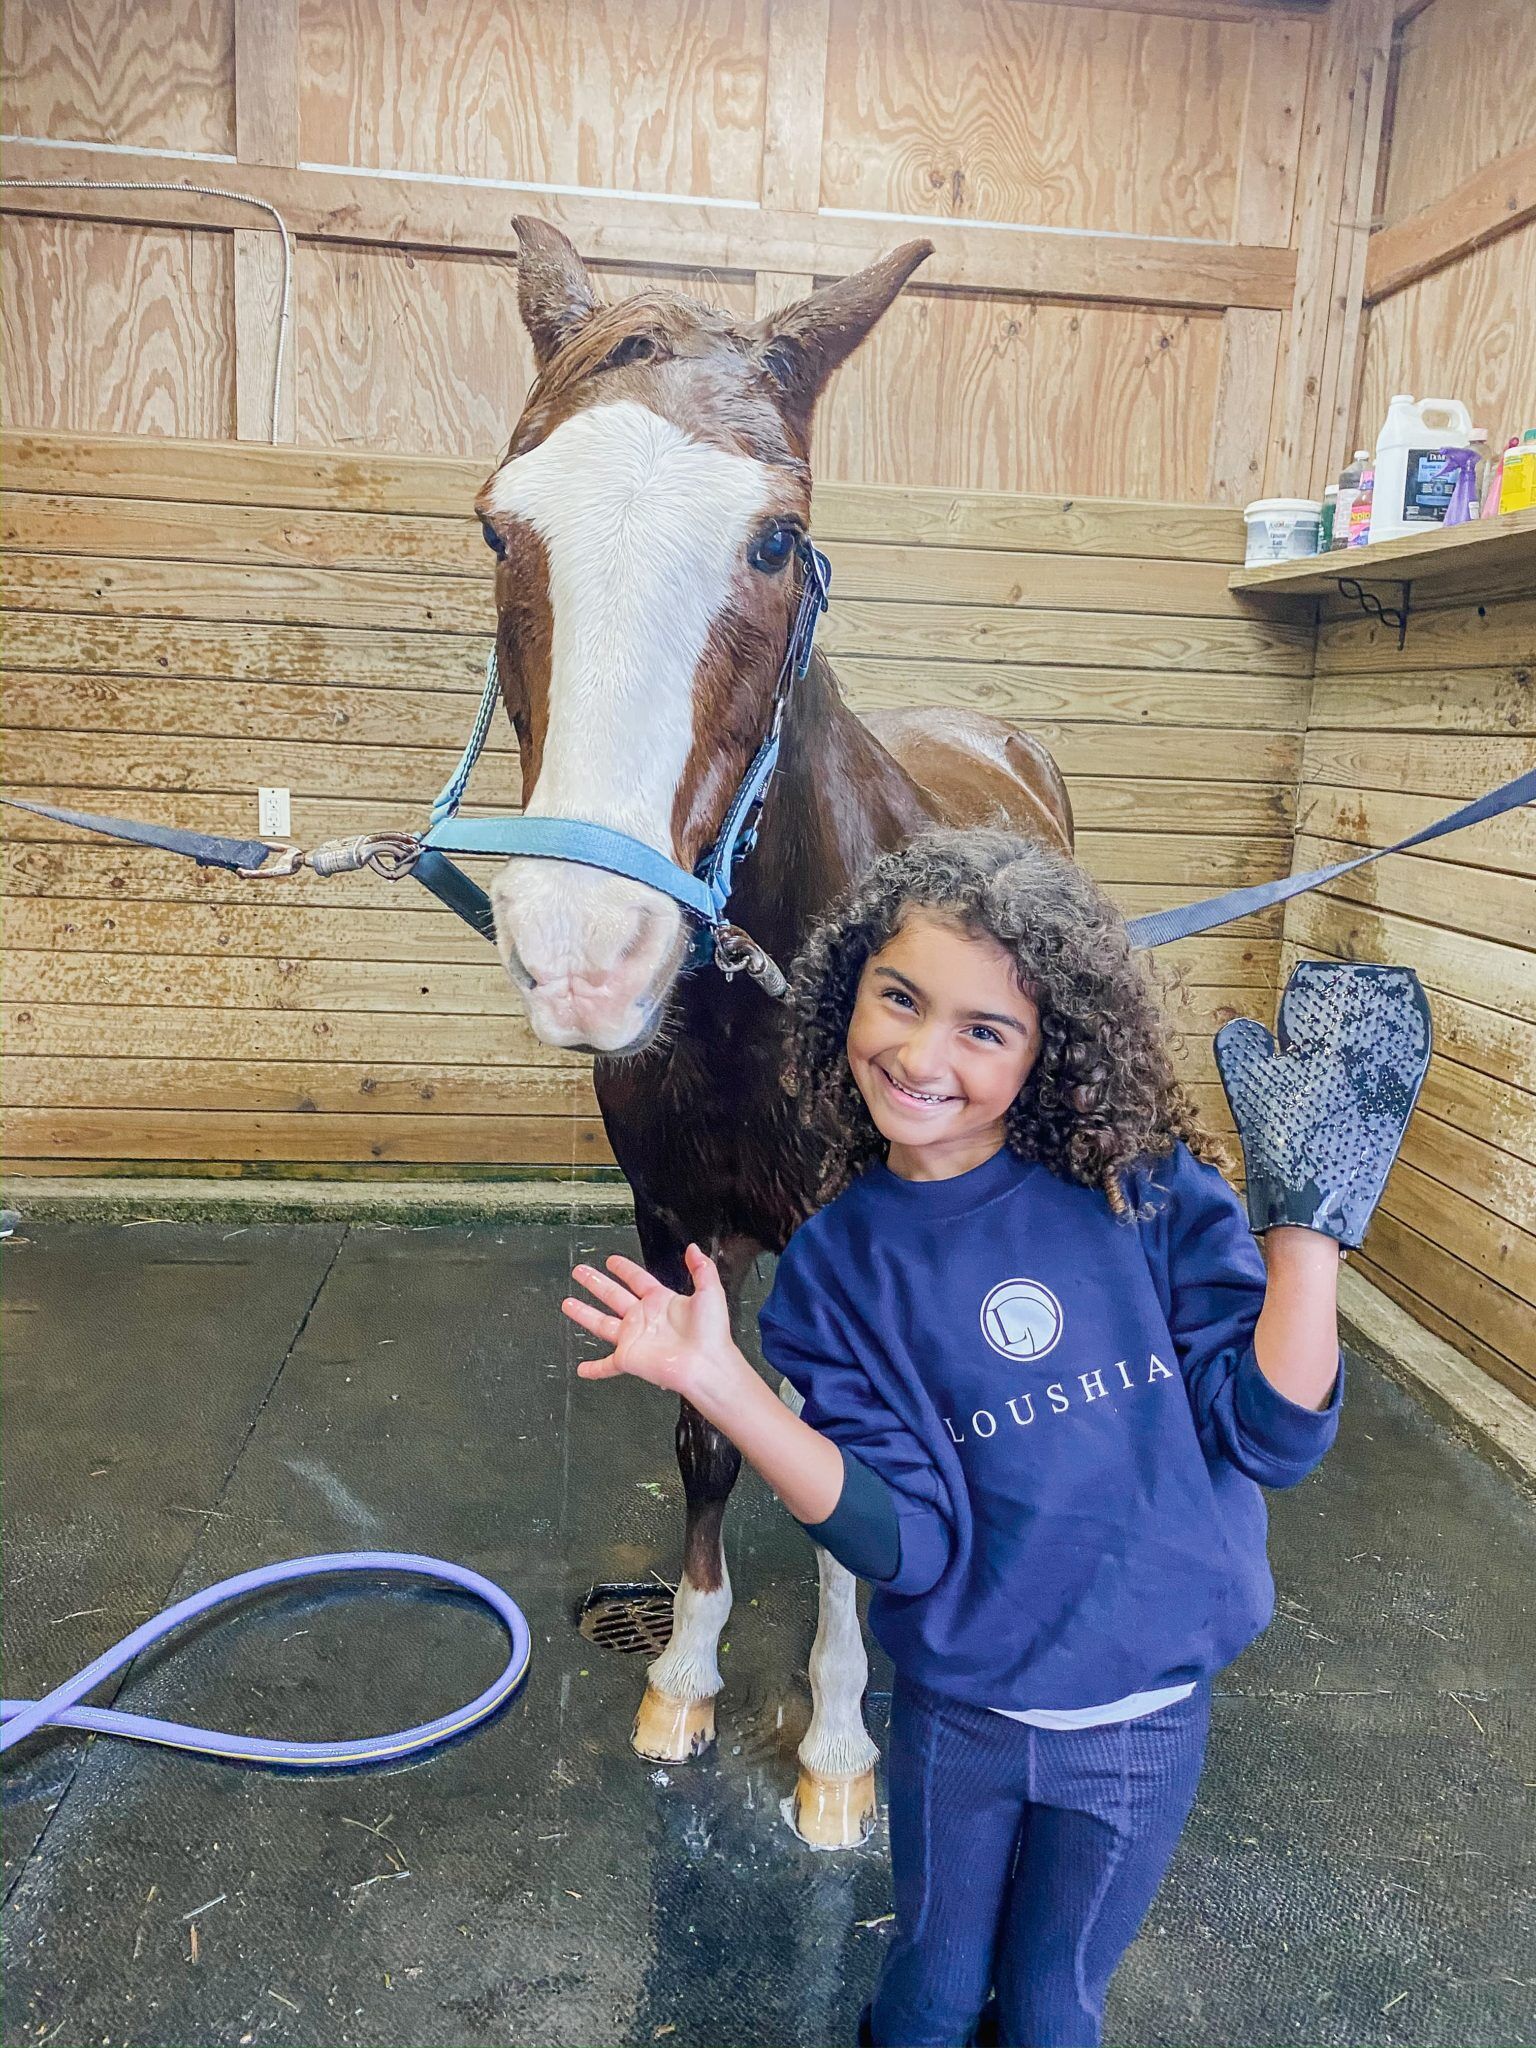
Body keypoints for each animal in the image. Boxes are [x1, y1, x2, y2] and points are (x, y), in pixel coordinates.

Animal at [476, 217, 1073, 1848]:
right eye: (499, 530)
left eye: (775, 540)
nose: (583, 949)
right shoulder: (676, 1218)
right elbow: (707, 1437)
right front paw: (682, 1676)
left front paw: (842, 1747)